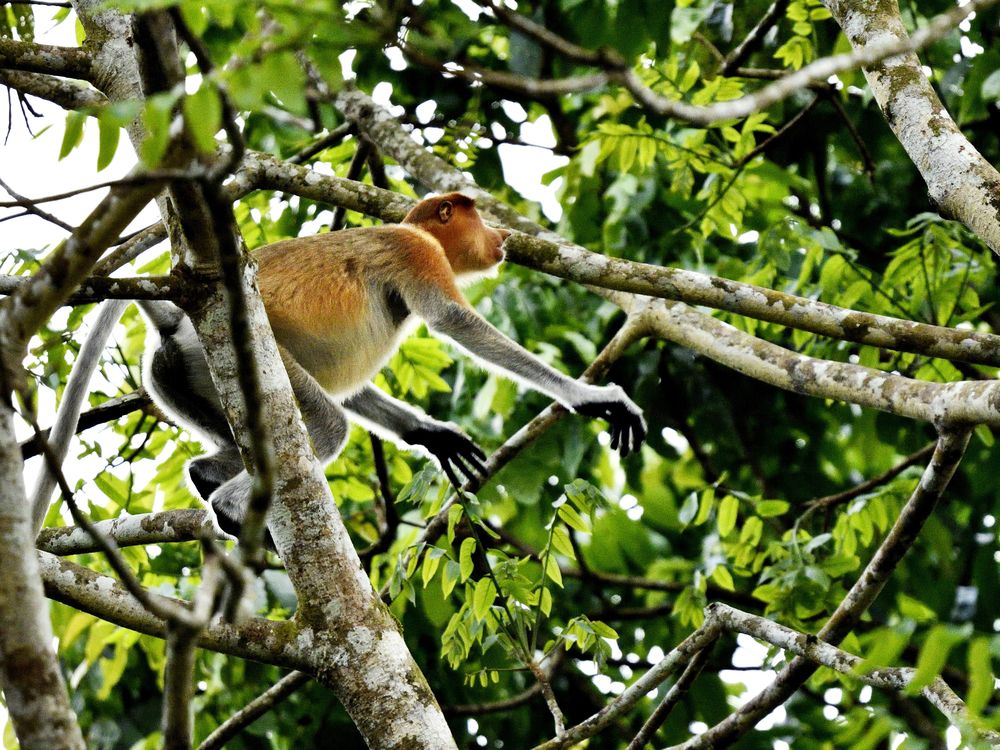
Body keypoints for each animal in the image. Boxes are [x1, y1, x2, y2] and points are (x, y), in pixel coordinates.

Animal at [38, 193, 646, 541]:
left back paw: (210, 476)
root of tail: (178, 321)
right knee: (326, 428)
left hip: (181, 380)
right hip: (244, 359)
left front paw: (434, 435)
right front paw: (593, 398)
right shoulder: (415, 253)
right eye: (477, 217)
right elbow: (453, 321)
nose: (499, 238)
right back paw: (233, 504)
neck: (417, 231)